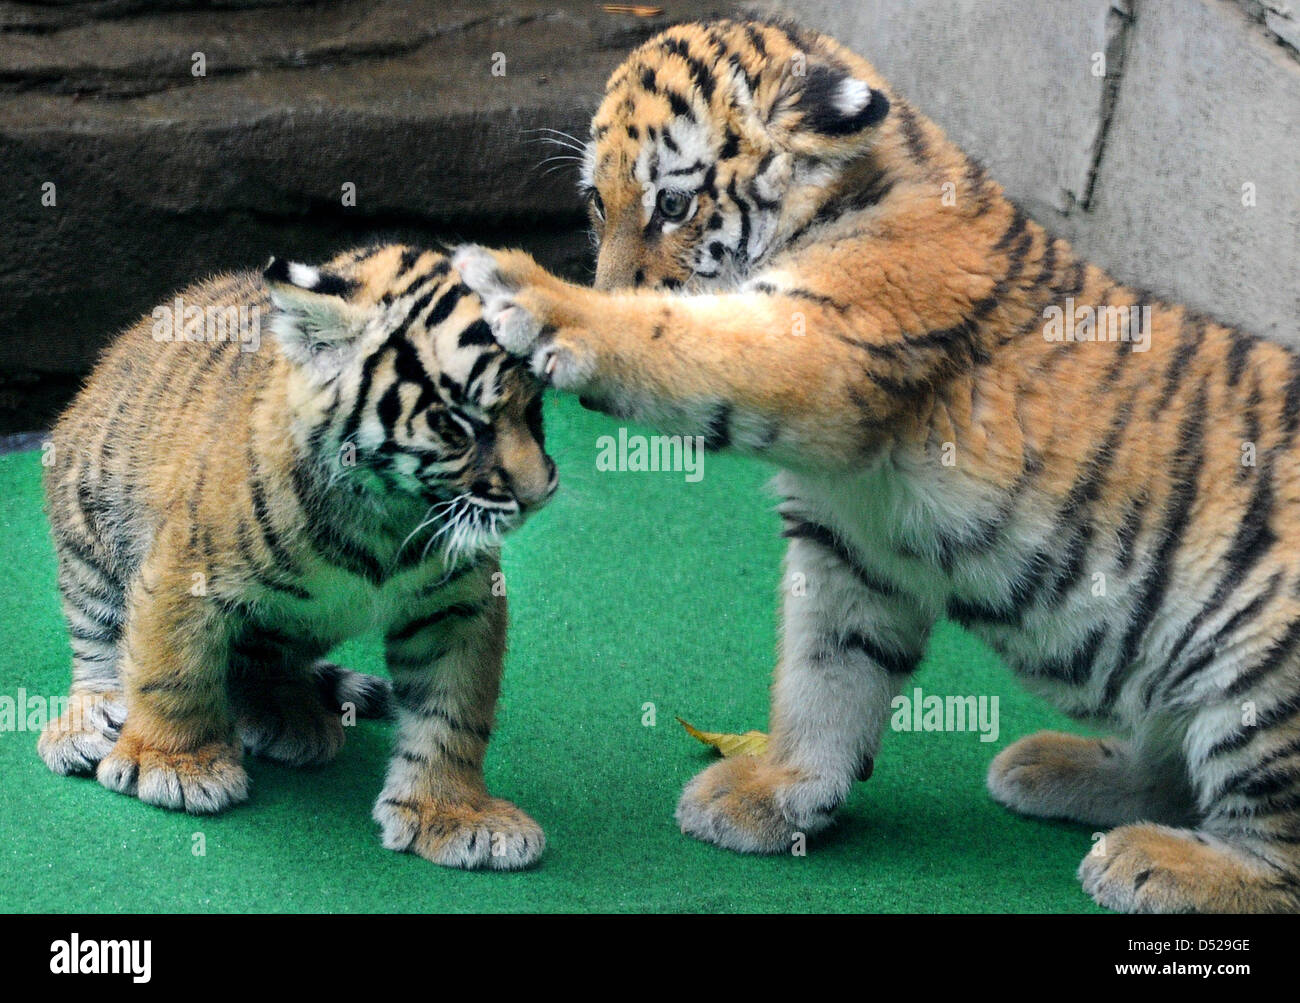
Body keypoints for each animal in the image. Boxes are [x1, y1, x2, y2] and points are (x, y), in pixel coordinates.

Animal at [37, 243, 556, 870]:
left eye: (535, 409)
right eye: (457, 422)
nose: (538, 493)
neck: (390, 511)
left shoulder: (457, 604)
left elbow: (453, 712)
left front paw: (454, 814)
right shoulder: (186, 569)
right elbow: (172, 669)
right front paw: (174, 767)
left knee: (262, 663)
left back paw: (287, 715)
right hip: (91, 536)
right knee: (99, 650)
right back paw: (85, 725)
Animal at [453, 17, 1300, 910]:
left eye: (673, 205)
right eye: (595, 202)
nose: (603, 278)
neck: (845, 198)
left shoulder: (813, 340)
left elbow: (672, 334)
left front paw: (526, 291)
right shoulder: (849, 541)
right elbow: (826, 673)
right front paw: (781, 791)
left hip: (1257, 667)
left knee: (1276, 854)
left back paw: (1159, 859)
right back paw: (1056, 766)